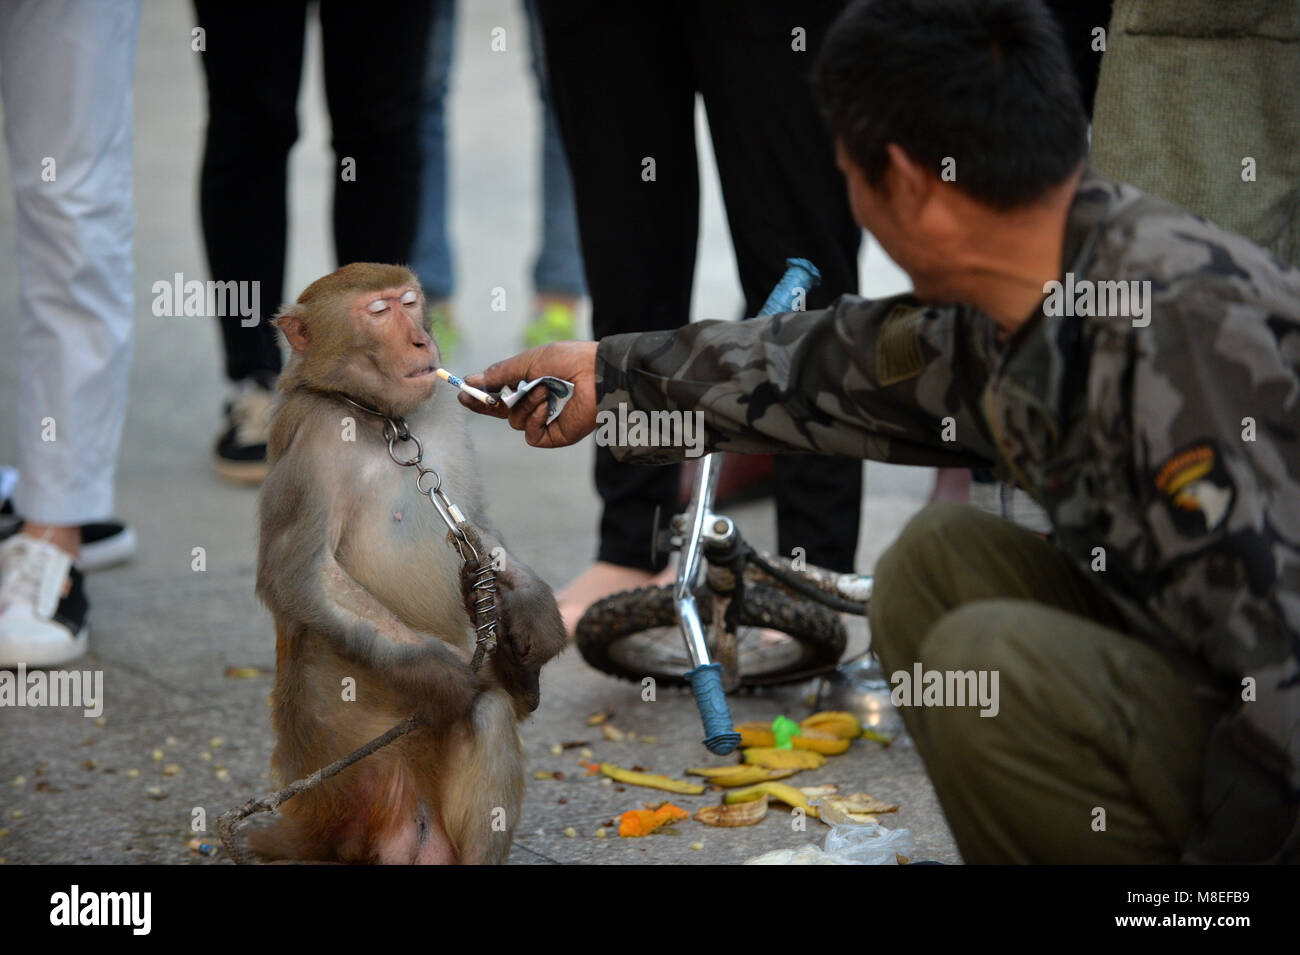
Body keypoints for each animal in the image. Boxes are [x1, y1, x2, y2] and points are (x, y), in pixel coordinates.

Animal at [249, 262, 566, 864]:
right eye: (378, 311)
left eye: (410, 302)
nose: (420, 340)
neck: (382, 419)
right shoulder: (312, 440)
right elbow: (304, 574)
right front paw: (445, 676)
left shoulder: (442, 418)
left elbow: (477, 525)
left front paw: (535, 612)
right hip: (344, 781)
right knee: (484, 708)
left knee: (489, 720)